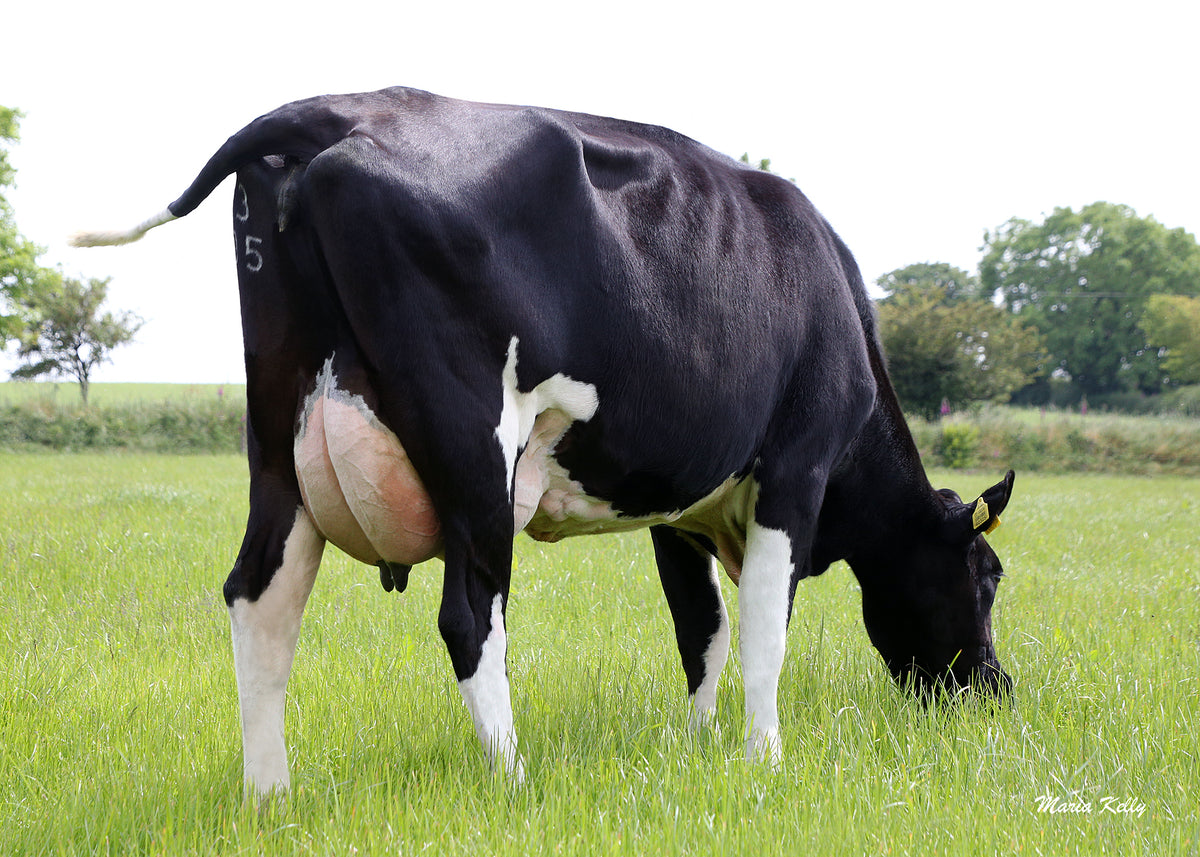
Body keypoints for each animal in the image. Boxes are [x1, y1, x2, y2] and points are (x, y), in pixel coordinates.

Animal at [72, 86, 1015, 797]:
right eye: (987, 574)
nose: (996, 689)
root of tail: (340, 109)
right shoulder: (795, 469)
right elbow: (761, 634)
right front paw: (763, 757)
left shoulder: (678, 504)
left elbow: (702, 630)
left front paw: (700, 744)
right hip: (475, 449)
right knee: (467, 616)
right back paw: (515, 779)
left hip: (279, 440)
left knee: (259, 600)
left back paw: (270, 795)